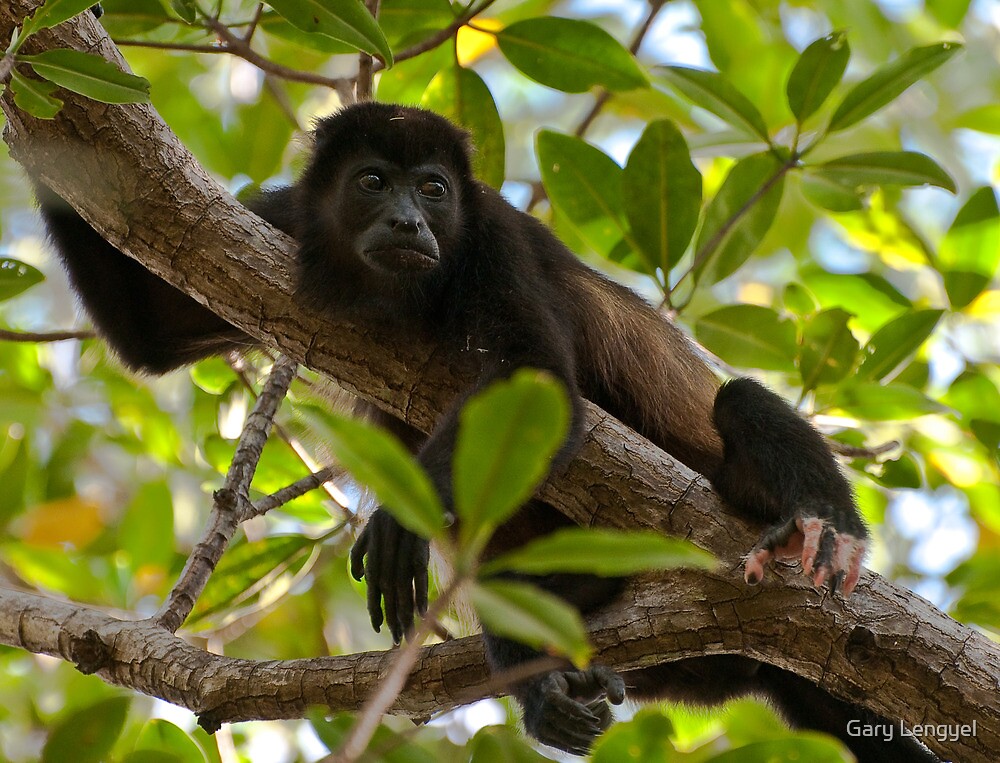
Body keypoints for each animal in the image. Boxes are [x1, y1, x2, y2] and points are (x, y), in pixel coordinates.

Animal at [34, 102, 937, 762]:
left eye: (434, 189)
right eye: (373, 181)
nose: (407, 219)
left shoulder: (495, 237)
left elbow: (540, 385)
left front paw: (396, 527)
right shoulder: (285, 217)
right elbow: (150, 326)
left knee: (741, 402)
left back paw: (818, 529)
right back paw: (545, 689)